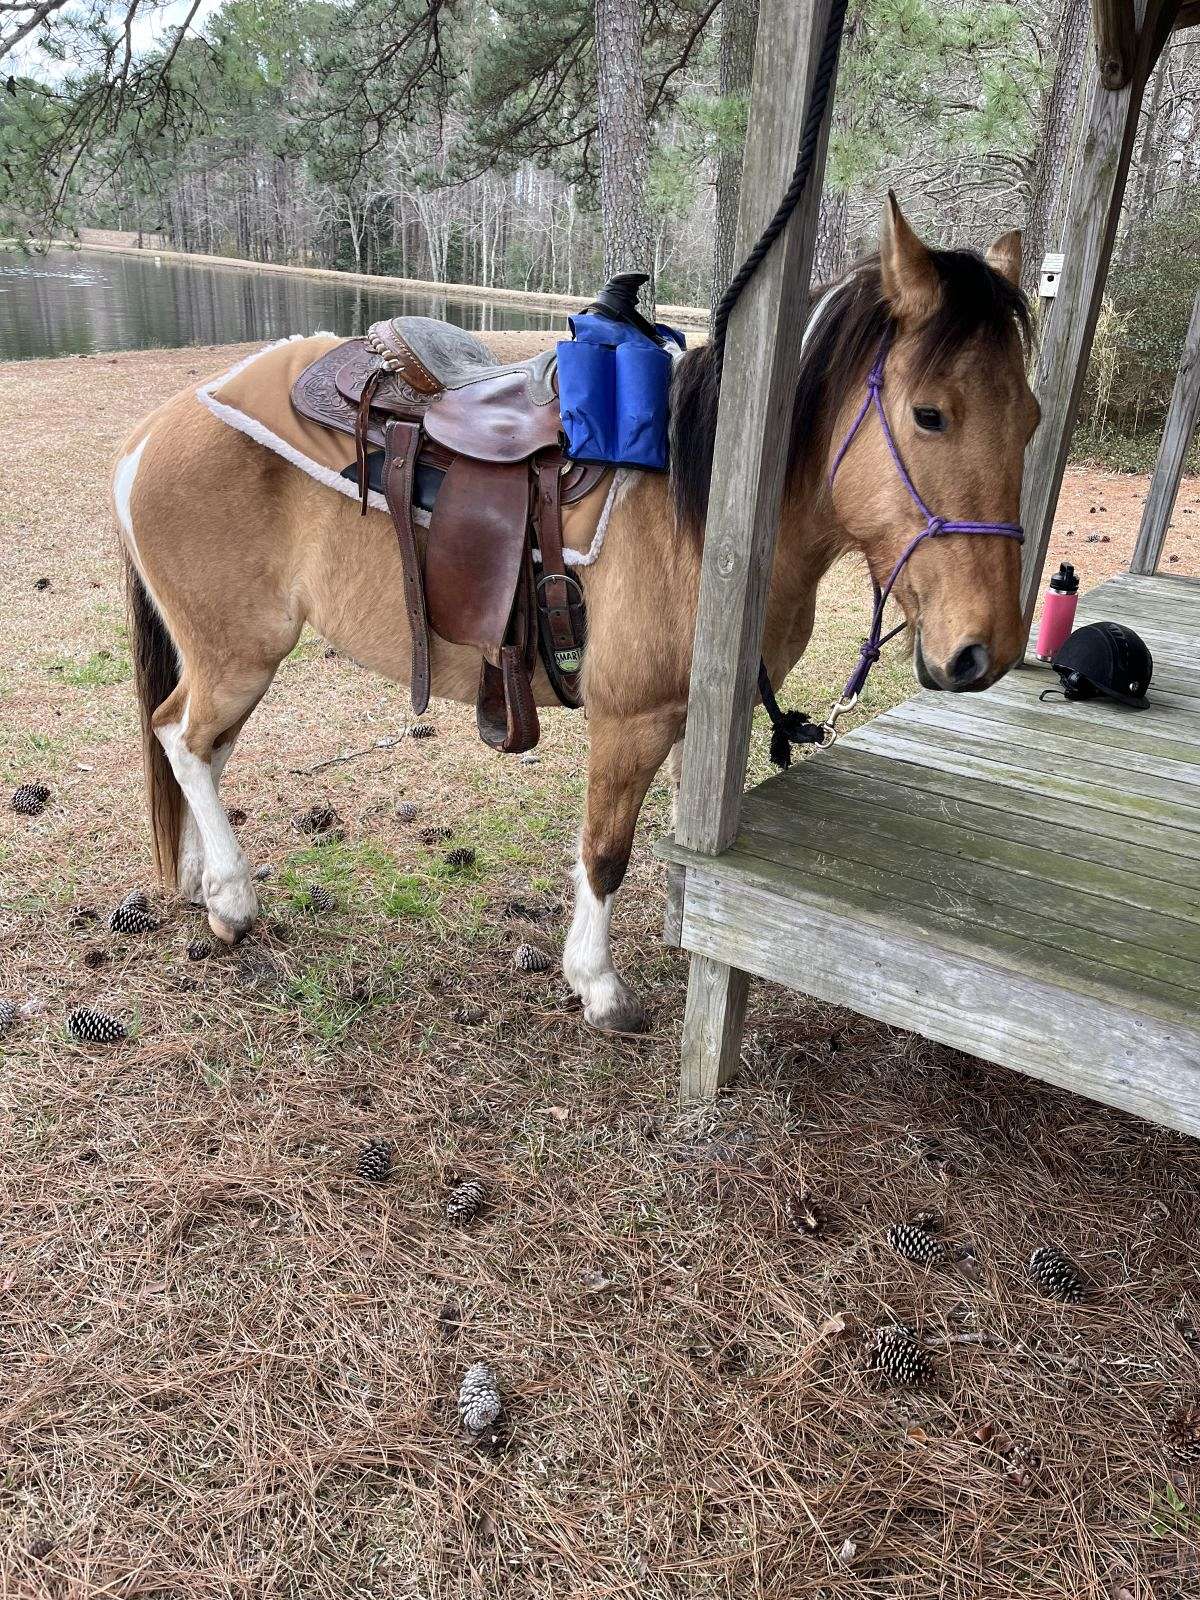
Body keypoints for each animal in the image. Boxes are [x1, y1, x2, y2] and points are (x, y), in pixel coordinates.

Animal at [113, 196, 1037, 1034]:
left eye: (1030, 420)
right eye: (929, 414)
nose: (980, 653)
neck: (704, 511)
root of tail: (156, 428)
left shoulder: (704, 720)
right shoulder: (631, 720)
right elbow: (606, 851)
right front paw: (597, 985)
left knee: (196, 746)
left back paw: (198, 882)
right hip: (241, 652)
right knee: (183, 739)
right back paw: (232, 899)